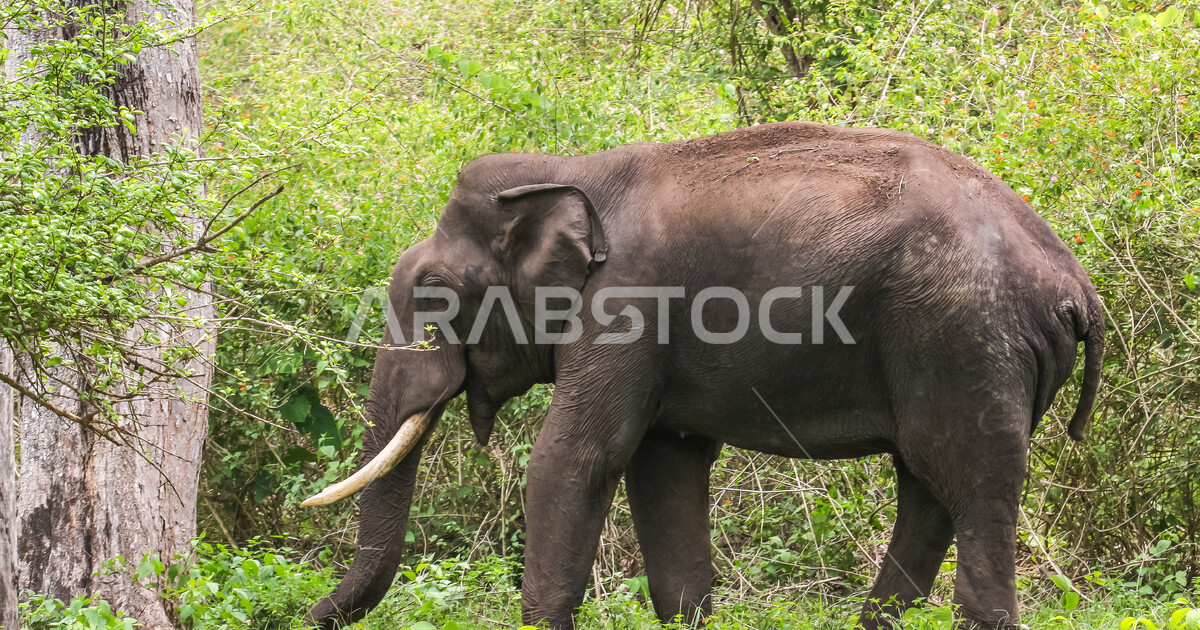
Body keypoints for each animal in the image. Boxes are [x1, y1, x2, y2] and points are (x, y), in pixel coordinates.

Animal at [303, 121, 1105, 629]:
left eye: (436, 294)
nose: (298, 613)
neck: (573, 168)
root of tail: (1077, 288)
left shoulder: (627, 306)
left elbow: (576, 459)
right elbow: (665, 468)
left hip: (967, 338)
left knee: (970, 484)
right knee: (928, 489)